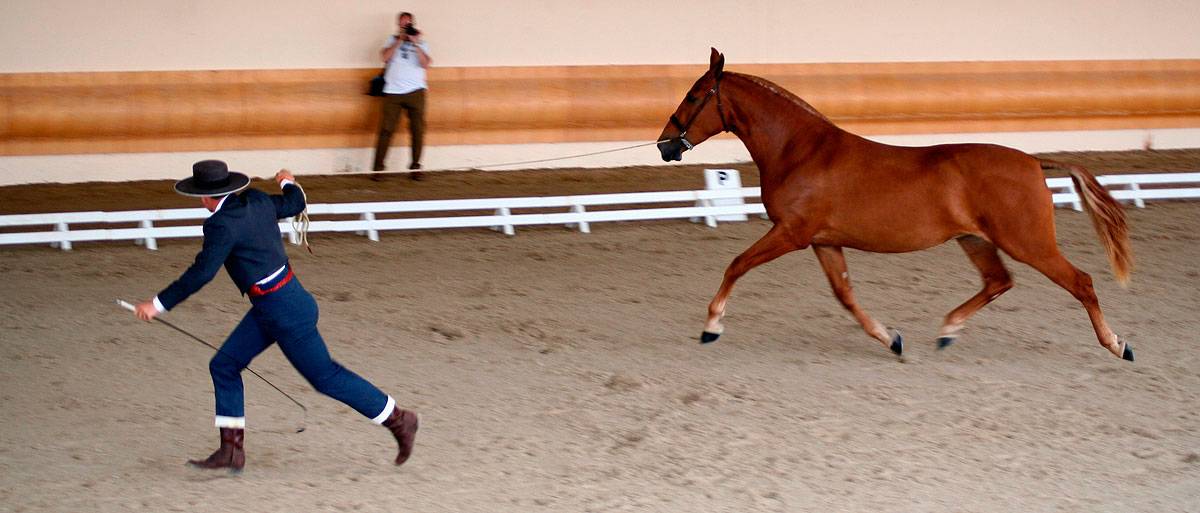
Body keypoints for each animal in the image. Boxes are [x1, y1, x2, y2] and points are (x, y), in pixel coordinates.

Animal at [657, 49, 1134, 361]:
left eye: (694, 95)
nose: (665, 146)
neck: (801, 151)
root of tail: (1033, 161)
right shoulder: (824, 242)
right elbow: (845, 295)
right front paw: (891, 339)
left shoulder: (791, 233)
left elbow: (736, 264)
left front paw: (711, 326)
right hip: (975, 240)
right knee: (998, 282)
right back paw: (947, 331)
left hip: (1027, 242)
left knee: (1081, 282)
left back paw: (1118, 344)